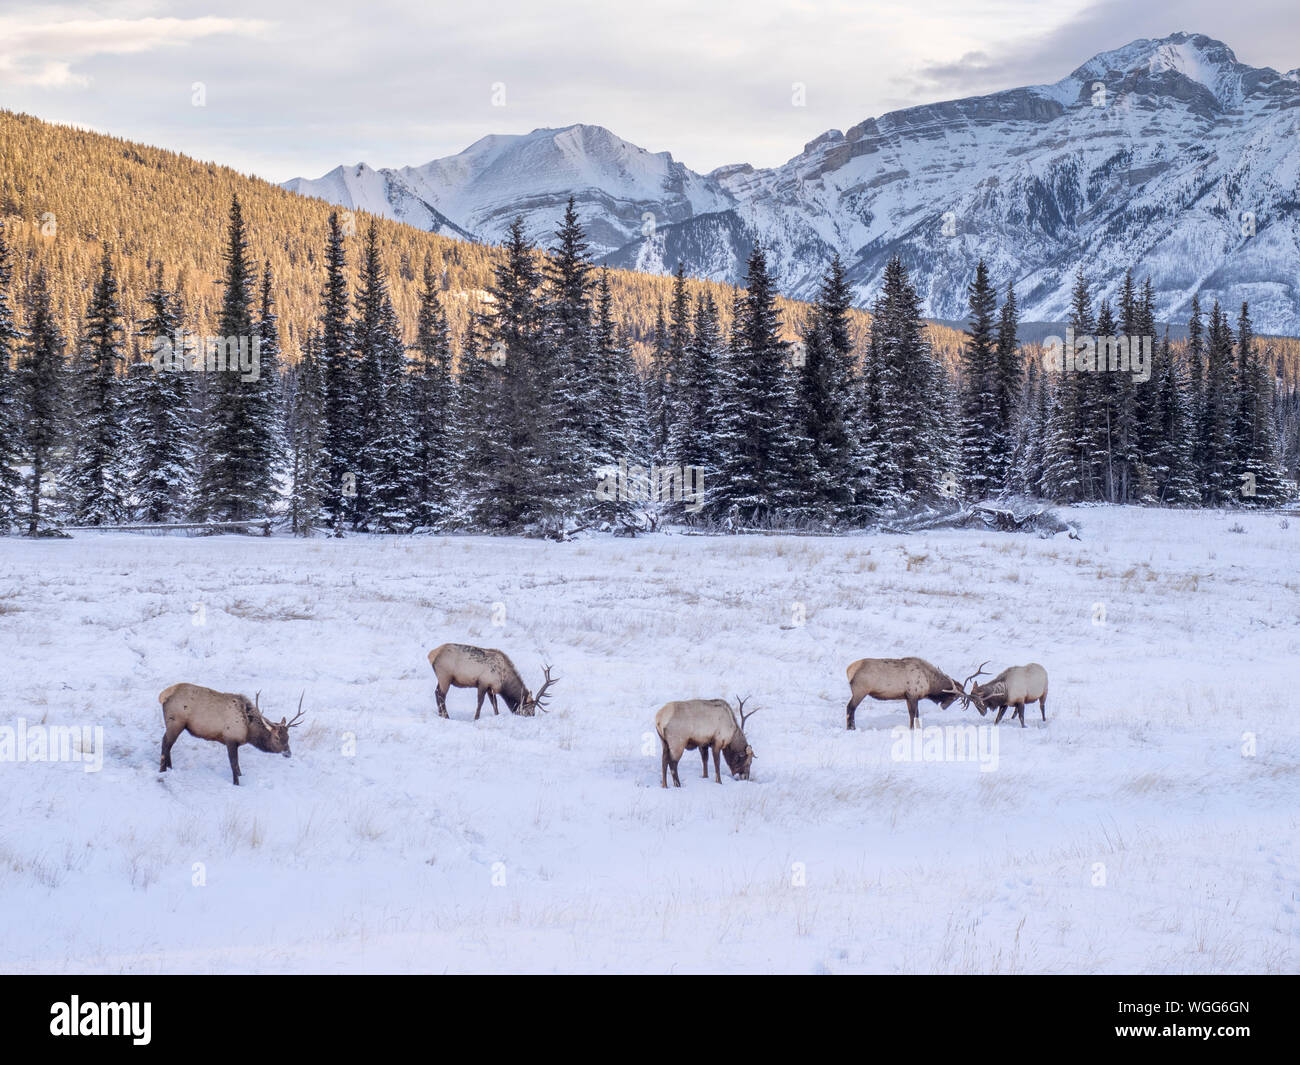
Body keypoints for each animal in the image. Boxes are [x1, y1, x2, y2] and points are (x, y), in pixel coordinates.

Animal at [158, 683, 304, 786]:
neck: (248, 731)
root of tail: (163, 695)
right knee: (165, 743)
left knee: (168, 744)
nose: (288, 753)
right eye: (277, 737)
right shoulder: (230, 739)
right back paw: (162, 770)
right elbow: (234, 763)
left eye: (288, 737)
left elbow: (238, 767)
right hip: (176, 721)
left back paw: (169, 767)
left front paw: (240, 776)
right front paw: (236, 783)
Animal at [426, 643, 558, 720]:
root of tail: (432, 654)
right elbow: (480, 702)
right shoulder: (483, 682)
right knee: (441, 695)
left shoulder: (491, 688)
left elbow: (494, 704)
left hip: (443, 678)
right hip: (445, 676)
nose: (532, 717)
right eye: (530, 709)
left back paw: (441, 715)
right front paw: (476, 718)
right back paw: (446, 716)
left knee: (436, 693)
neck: (504, 681)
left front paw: (496, 715)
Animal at [845, 656, 974, 730]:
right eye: (955, 696)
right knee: (850, 707)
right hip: (860, 691)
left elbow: (916, 714)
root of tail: (849, 669)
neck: (929, 683)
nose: (944, 706)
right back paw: (851, 728)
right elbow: (913, 714)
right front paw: (912, 728)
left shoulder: (908, 697)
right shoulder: (912, 695)